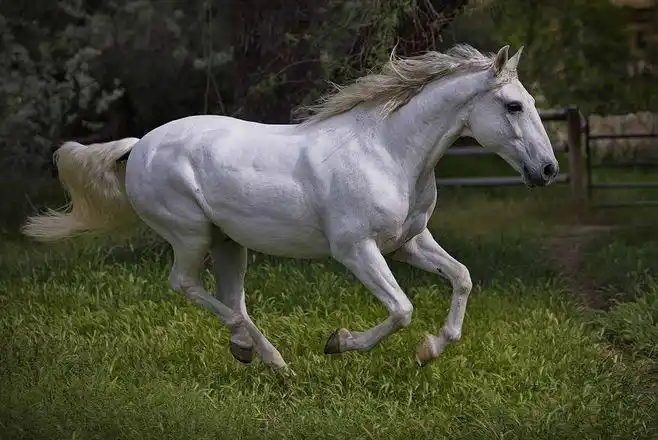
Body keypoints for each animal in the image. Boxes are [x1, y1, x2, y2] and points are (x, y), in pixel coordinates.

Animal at [22, 44, 559, 376]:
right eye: (513, 106)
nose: (548, 169)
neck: (387, 151)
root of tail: (139, 146)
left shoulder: (408, 243)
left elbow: (462, 277)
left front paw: (429, 351)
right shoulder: (356, 250)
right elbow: (402, 309)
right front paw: (338, 342)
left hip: (227, 242)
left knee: (230, 297)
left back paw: (265, 359)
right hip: (190, 235)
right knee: (186, 285)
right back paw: (262, 351)